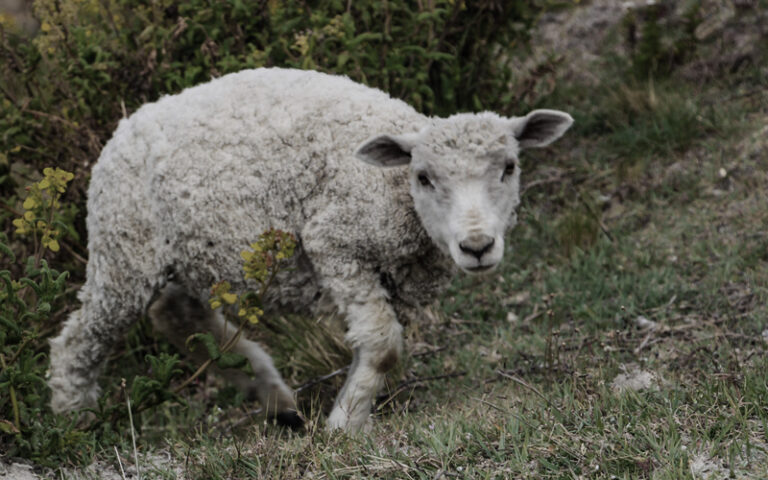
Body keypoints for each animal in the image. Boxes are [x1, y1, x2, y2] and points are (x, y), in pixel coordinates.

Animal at [47, 67, 573, 432]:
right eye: (424, 177)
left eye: (508, 167)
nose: (477, 246)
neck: (392, 191)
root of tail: (123, 126)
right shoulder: (334, 241)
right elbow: (383, 345)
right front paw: (345, 424)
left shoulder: (384, 273)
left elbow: (375, 345)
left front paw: (348, 408)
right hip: (124, 246)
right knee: (83, 336)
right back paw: (74, 419)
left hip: (186, 251)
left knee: (174, 312)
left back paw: (274, 399)